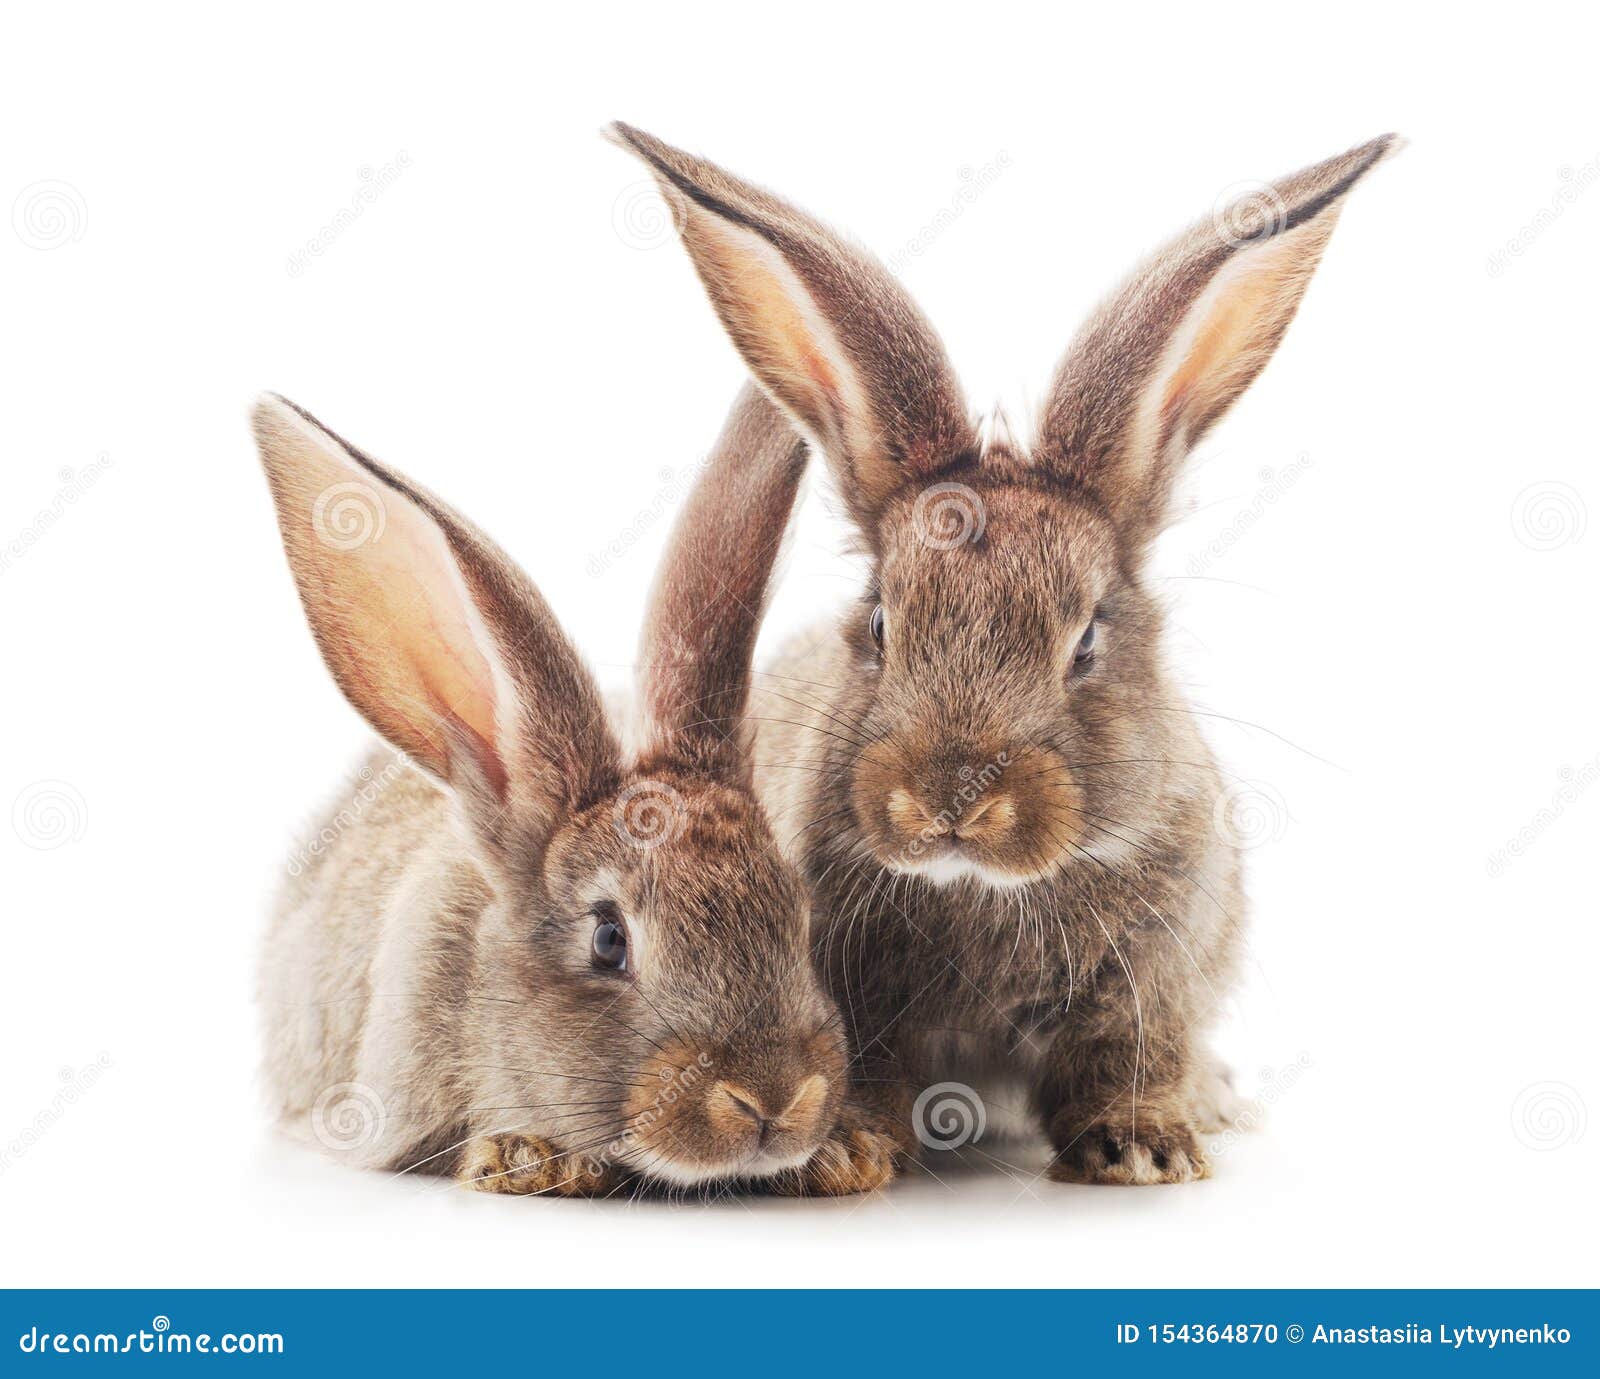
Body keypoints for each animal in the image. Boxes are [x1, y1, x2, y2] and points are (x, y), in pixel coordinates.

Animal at [611, 122, 1398, 1184]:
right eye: (880, 624)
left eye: (1089, 639)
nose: (952, 797)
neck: (984, 893)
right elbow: (868, 1068)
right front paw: (845, 1153)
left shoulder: (1151, 973)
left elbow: (1125, 1056)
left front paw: (1141, 1148)